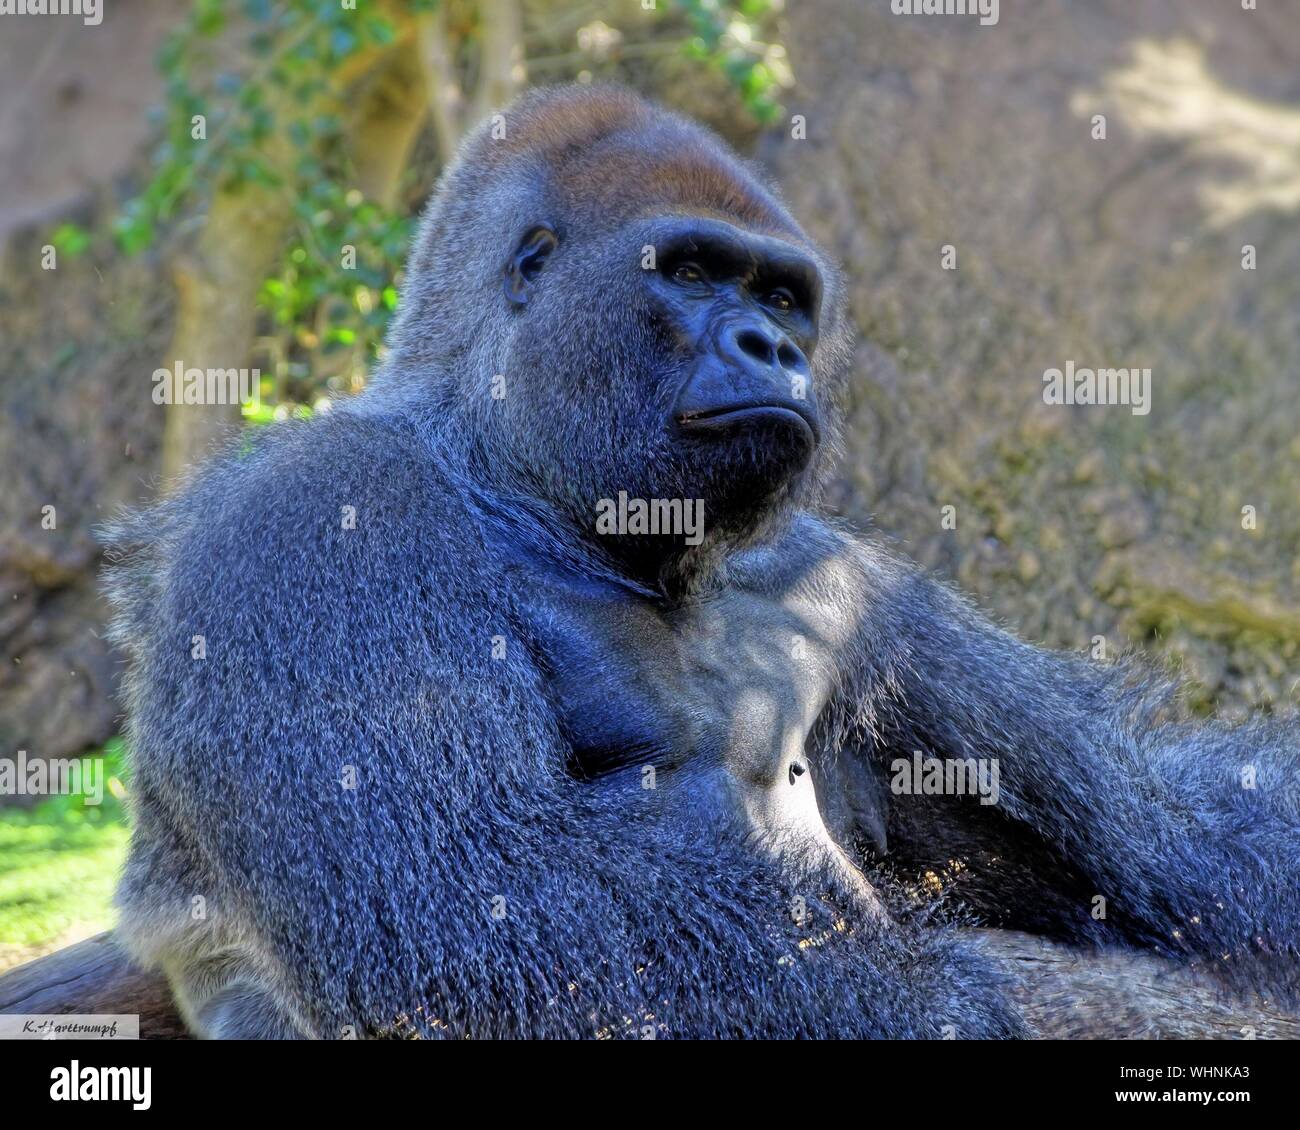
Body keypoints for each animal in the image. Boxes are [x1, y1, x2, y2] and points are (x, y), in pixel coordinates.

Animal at [102, 84, 1300, 1039]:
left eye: (780, 298)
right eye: (688, 271)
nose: (772, 348)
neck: (518, 478)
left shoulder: (850, 587)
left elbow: (1171, 833)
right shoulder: (308, 518)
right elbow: (490, 909)